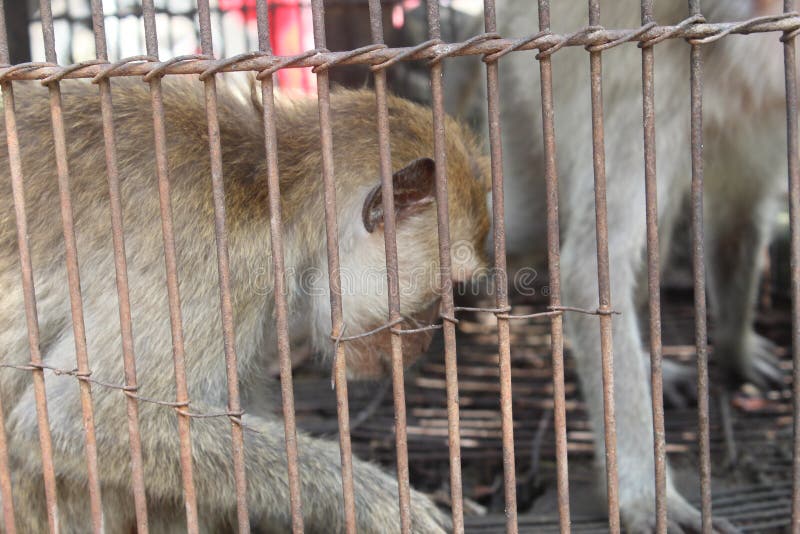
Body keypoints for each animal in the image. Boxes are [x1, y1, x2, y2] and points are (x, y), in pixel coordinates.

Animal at [0, 76, 490, 532]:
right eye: (438, 294)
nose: (424, 342)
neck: (276, 194)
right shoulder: (210, 265)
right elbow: (84, 419)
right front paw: (377, 501)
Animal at [445, 0, 790, 531]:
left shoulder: (770, 110)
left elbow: (739, 217)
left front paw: (737, 346)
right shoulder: (662, 90)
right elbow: (592, 269)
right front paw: (647, 495)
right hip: (520, 94)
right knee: (528, 229)